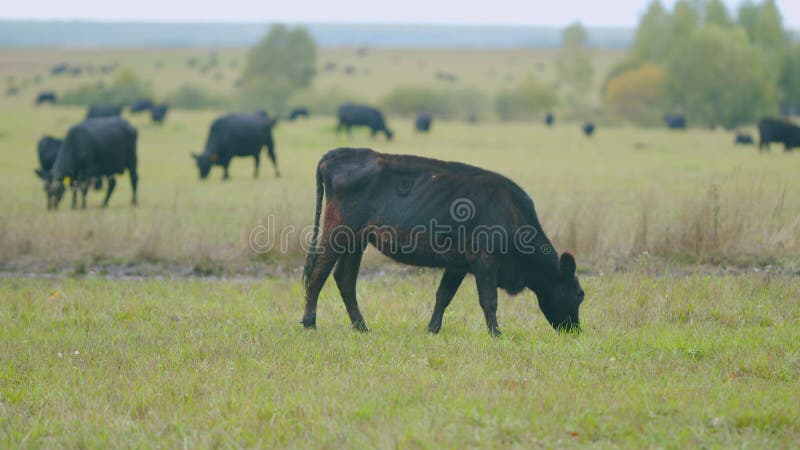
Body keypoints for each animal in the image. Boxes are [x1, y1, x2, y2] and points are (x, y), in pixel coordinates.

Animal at [301, 147, 585, 336]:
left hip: (357, 240)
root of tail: (339, 154)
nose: (576, 331)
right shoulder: (485, 261)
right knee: (318, 273)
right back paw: (309, 322)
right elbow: (489, 300)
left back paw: (361, 327)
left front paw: (432, 329)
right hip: (338, 231)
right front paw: (496, 333)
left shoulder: (458, 264)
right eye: (579, 295)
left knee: (344, 279)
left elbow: (443, 295)